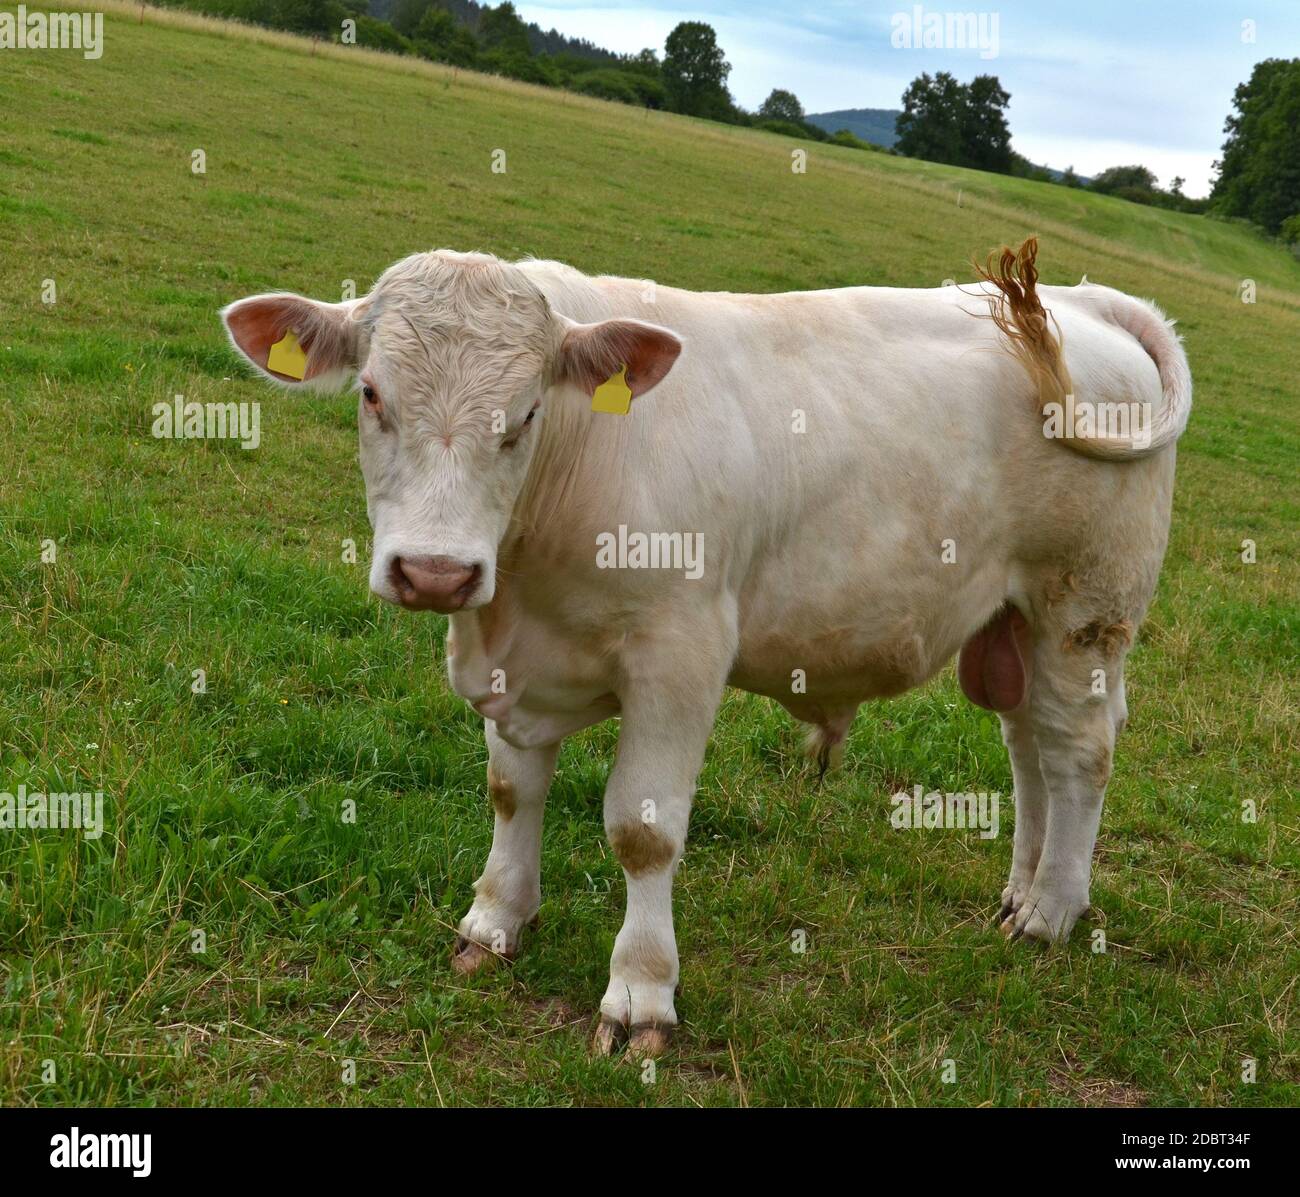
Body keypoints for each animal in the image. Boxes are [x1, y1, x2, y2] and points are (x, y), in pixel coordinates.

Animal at [221, 239, 1191, 1055]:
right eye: (371, 395)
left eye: (525, 414)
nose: (435, 572)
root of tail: (1083, 301)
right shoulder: (516, 666)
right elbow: (511, 791)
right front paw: (495, 920)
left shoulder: (679, 654)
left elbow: (642, 830)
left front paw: (640, 993)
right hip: (1014, 619)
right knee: (1029, 746)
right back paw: (1022, 888)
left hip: (1085, 611)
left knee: (1079, 754)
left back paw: (1052, 911)